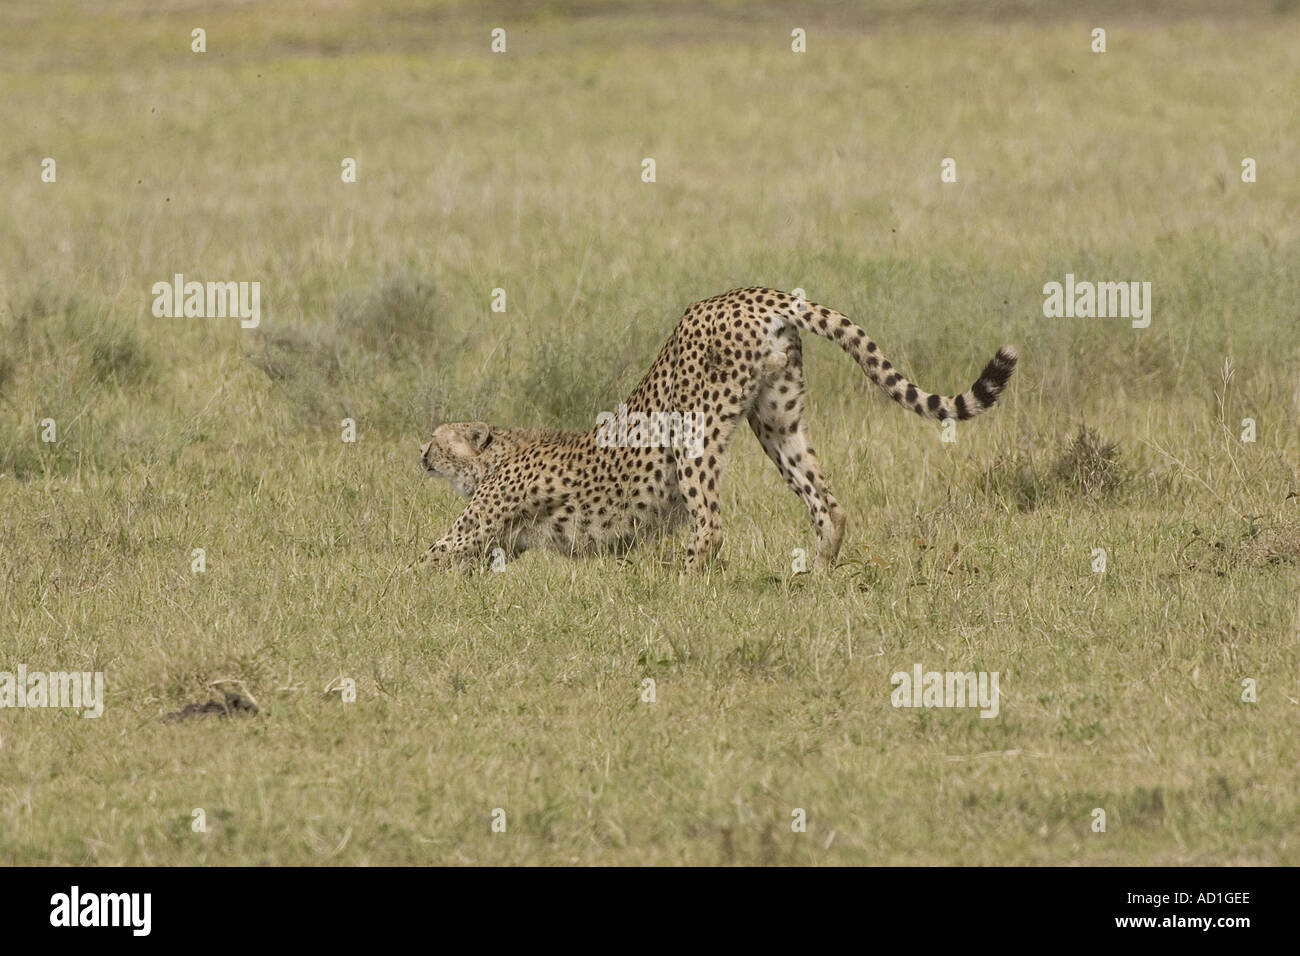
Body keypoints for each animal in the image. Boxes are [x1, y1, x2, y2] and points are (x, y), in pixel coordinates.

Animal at [417, 287, 1017, 572]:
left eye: (435, 441)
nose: (419, 455)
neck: (498, 453)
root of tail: (755, 293)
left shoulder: (470, 533)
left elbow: (419, 562)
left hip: (697, 430)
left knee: (710, 526)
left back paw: (679, 585)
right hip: (776, 421)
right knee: (828, 505)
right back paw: (815, 577)